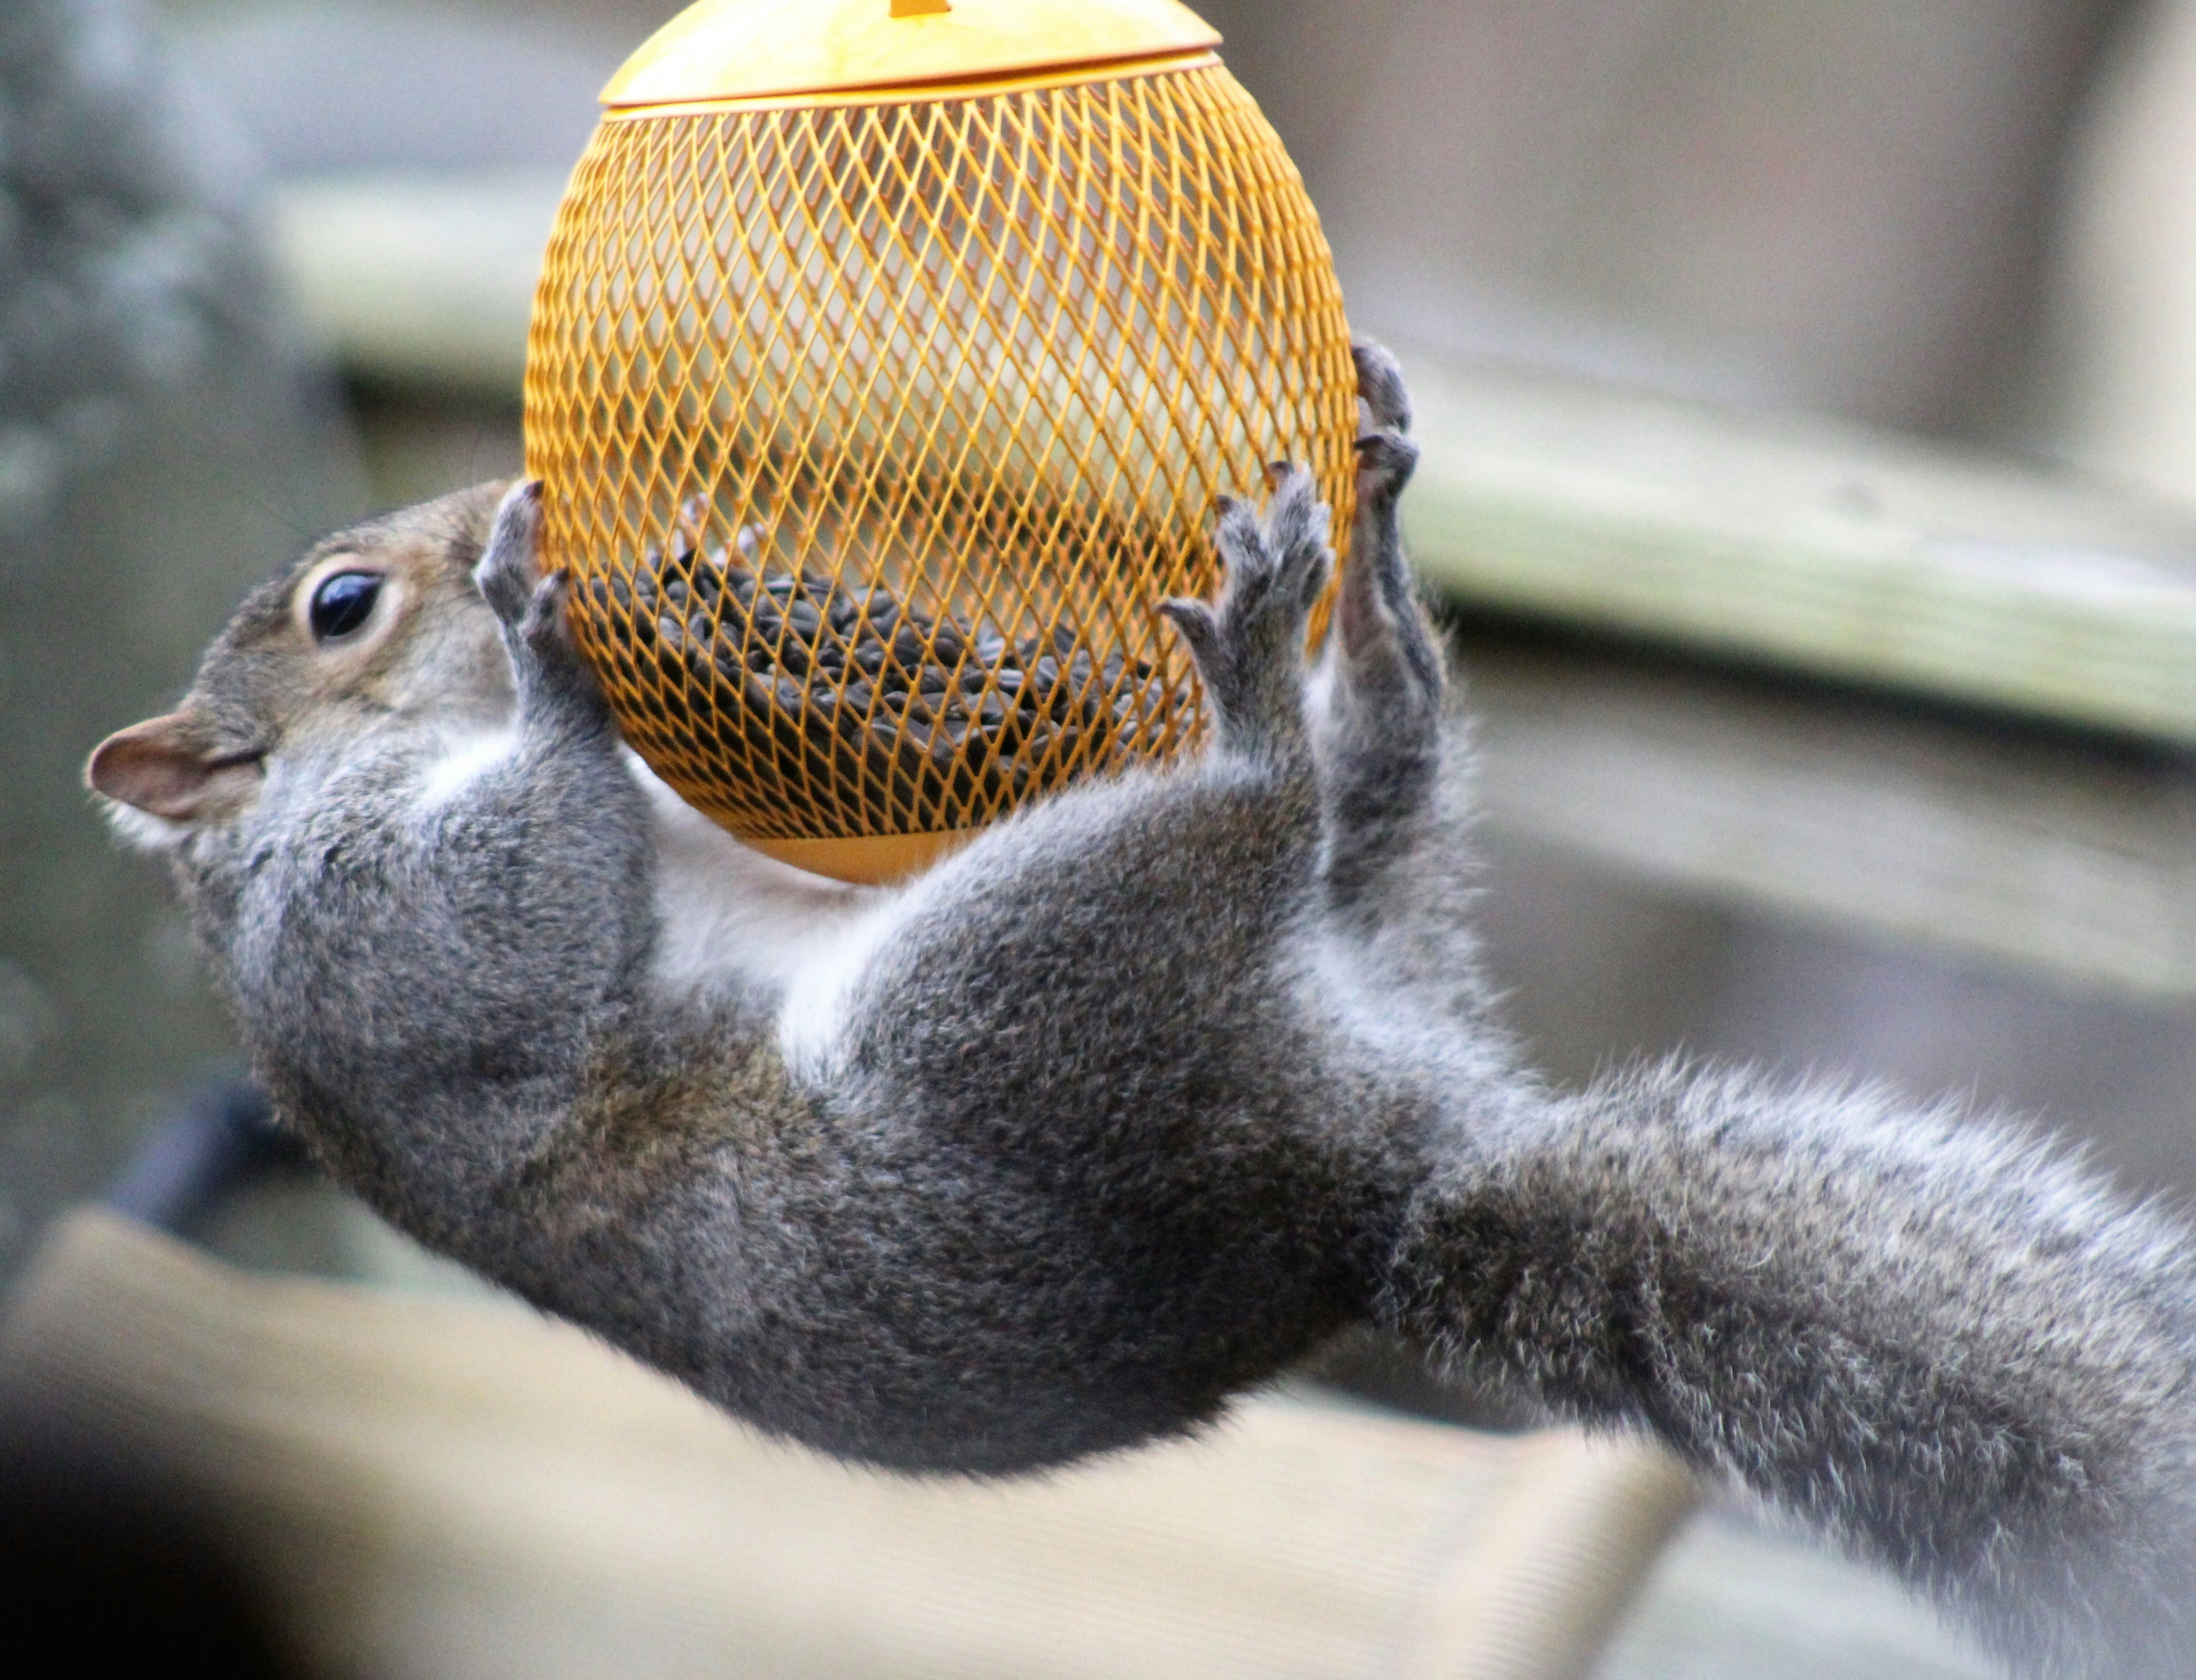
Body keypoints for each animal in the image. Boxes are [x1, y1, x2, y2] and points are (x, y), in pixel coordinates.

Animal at [86, 344, 2196, 1678]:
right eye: (343, 603)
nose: (490, 510)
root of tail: (1366, 1175)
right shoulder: (368, 952)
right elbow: (521, 901)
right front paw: (553, 647)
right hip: (1007, 990)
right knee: (1257, 812)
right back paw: (1264, 690)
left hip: (1353, 923)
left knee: (1380, 779)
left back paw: (1375, 583)